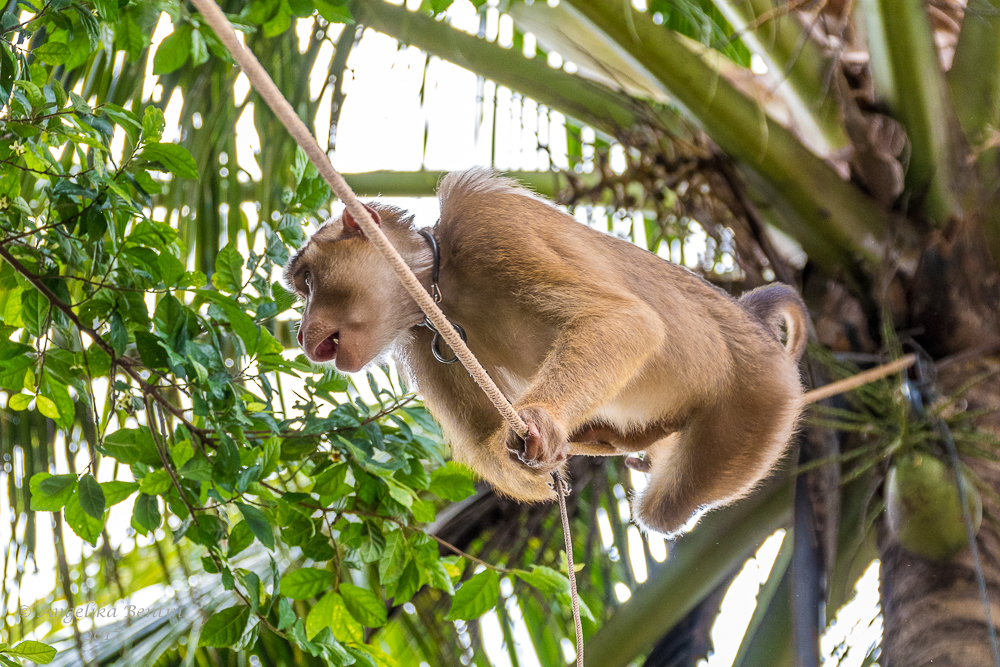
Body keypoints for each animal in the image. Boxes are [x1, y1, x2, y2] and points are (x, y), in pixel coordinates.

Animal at [284, 168, 808, 535]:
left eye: (308, 281)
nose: (301, 331)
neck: (439, 277)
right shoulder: (426, 334)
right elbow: (486, 440)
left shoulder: (490, 225)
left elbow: (625, 320)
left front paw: (542, 419)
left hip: (758, 404)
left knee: (664, 509)